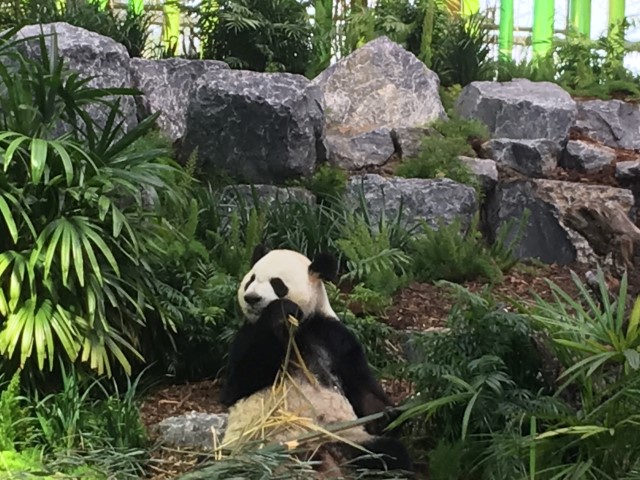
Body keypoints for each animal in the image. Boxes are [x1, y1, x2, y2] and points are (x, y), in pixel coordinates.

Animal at [218, 245, 414, 477]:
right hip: (249, 452)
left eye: (277, 283)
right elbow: (237, 385)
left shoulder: (332, 335)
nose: (251, 298)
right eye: (251, 279)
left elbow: (360, 384)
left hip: (346, 438)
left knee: (388, 455)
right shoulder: (247, 334)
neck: (300, 325)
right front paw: (280, 311)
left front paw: (387, 414)